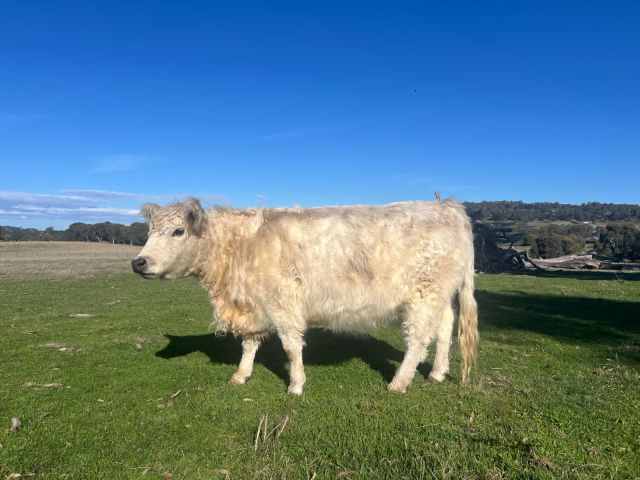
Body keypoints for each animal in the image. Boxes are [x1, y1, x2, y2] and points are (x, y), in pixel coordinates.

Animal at [132, 198, 478, 395]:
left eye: (178, 231)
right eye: (148, 232)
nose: (138, 262)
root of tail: (447, 204)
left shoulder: (282, 303)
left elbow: (290, 345)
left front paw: (296, 384)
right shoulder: (255, 306)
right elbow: (249, 344)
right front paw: (241, 375)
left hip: (424, 294)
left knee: (418, 339)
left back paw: (399, 383)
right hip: (439, 294)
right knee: (444, 329)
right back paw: (436, 373)